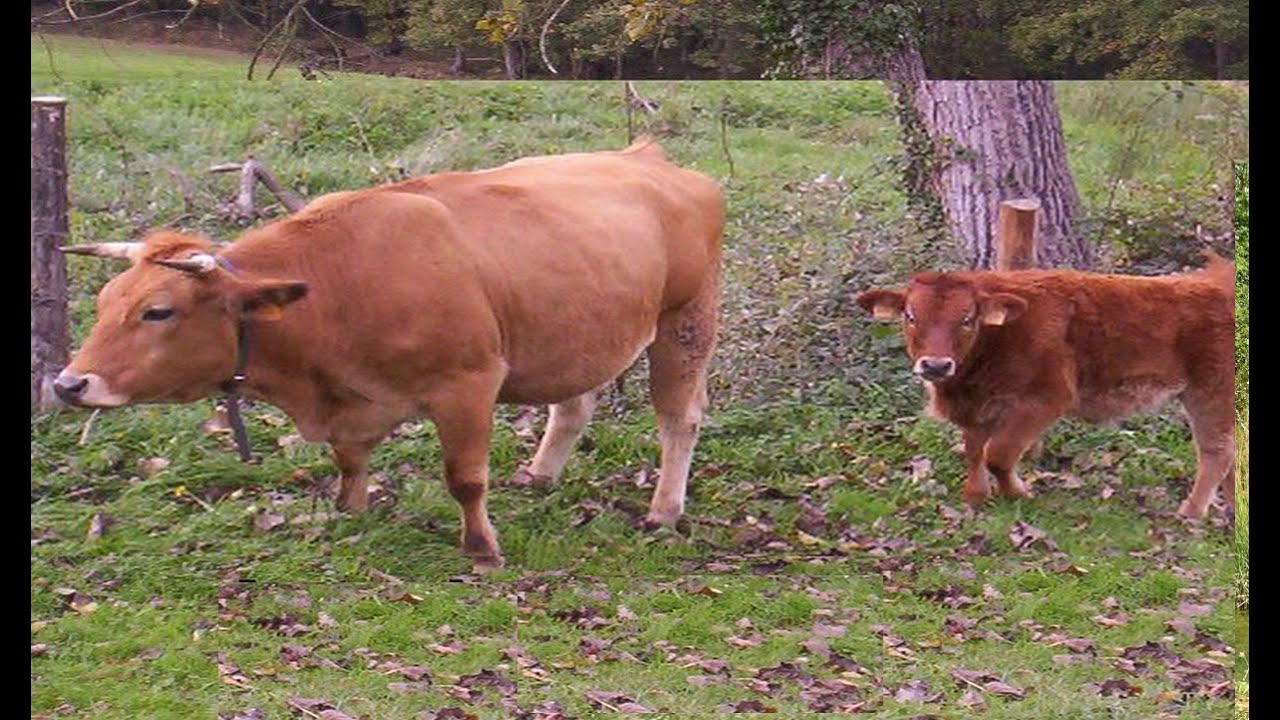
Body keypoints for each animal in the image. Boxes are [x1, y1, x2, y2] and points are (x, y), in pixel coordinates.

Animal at [53, 139, 723, 572]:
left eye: (158, 311)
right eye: (107, 300)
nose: (67, 384)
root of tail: (645, 156)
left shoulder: (469, 384)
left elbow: (464, 479)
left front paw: (481, 548)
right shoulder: (350, 402)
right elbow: (349, 460)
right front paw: (350, 512)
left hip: (686, 323)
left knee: (679, 419)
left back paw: (664, 511)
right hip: (577, 329)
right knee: (574, 406)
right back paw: (538, 477)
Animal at [855, 258, 1235, 519]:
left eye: (967, 319)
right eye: (910, 316)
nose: (935, 365)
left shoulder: (1045, 399)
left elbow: (998, 453)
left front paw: (1018, 494)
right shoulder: (979, 407)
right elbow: (975, 449)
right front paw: (975, 496)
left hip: (1211, 392)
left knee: (1216, 450)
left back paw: (1190, 513)